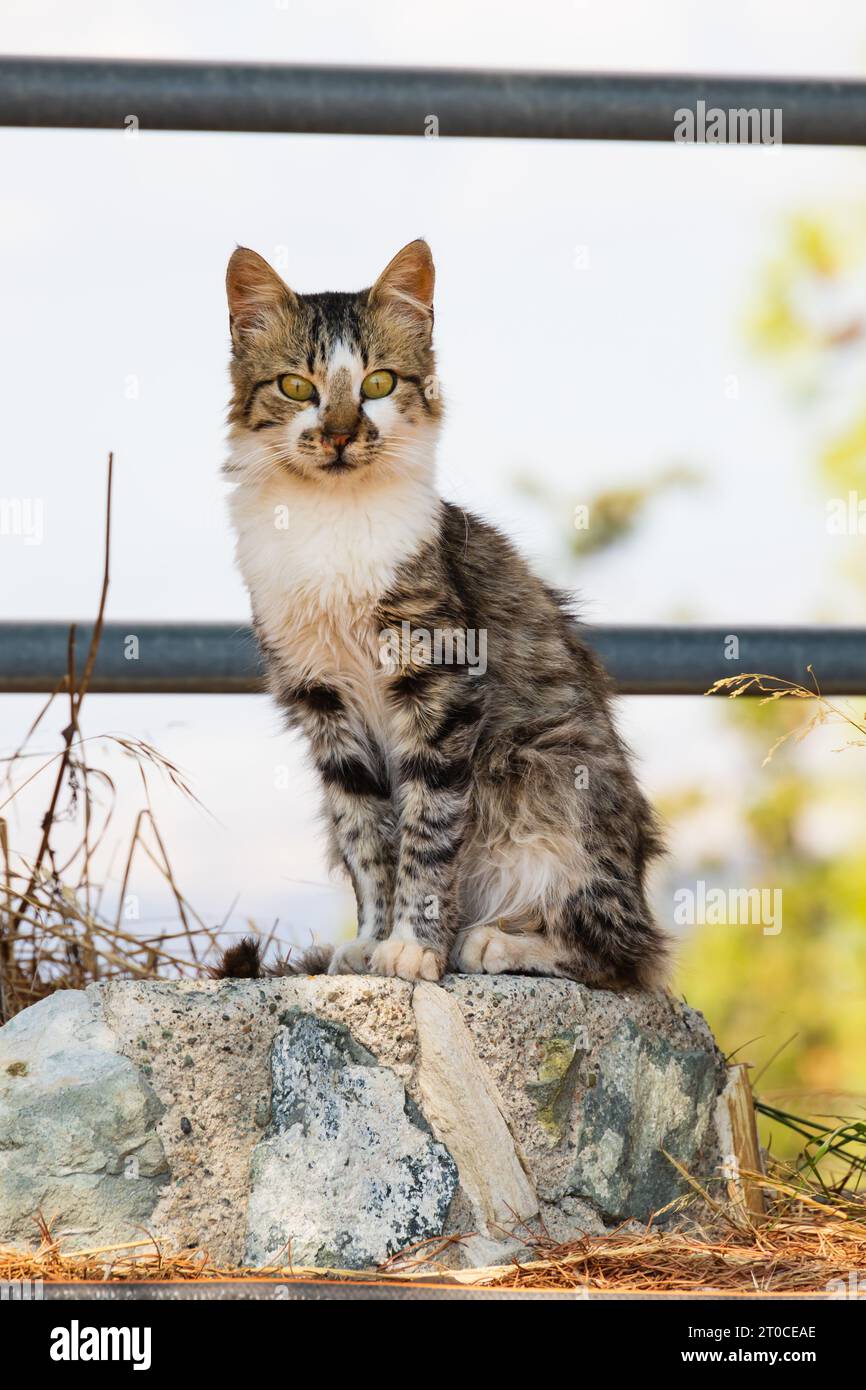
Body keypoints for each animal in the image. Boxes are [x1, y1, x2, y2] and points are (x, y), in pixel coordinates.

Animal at [223, 239, 670, 989]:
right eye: (296, 388)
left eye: (377, 384)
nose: (340, 436)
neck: (331, 525)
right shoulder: (325, 706)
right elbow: (368, 841)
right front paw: (373, 942)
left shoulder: (440, 683)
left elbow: (427, 834)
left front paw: (413, 947)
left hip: (554, 781)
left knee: (619, 953)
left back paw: (494, 941)